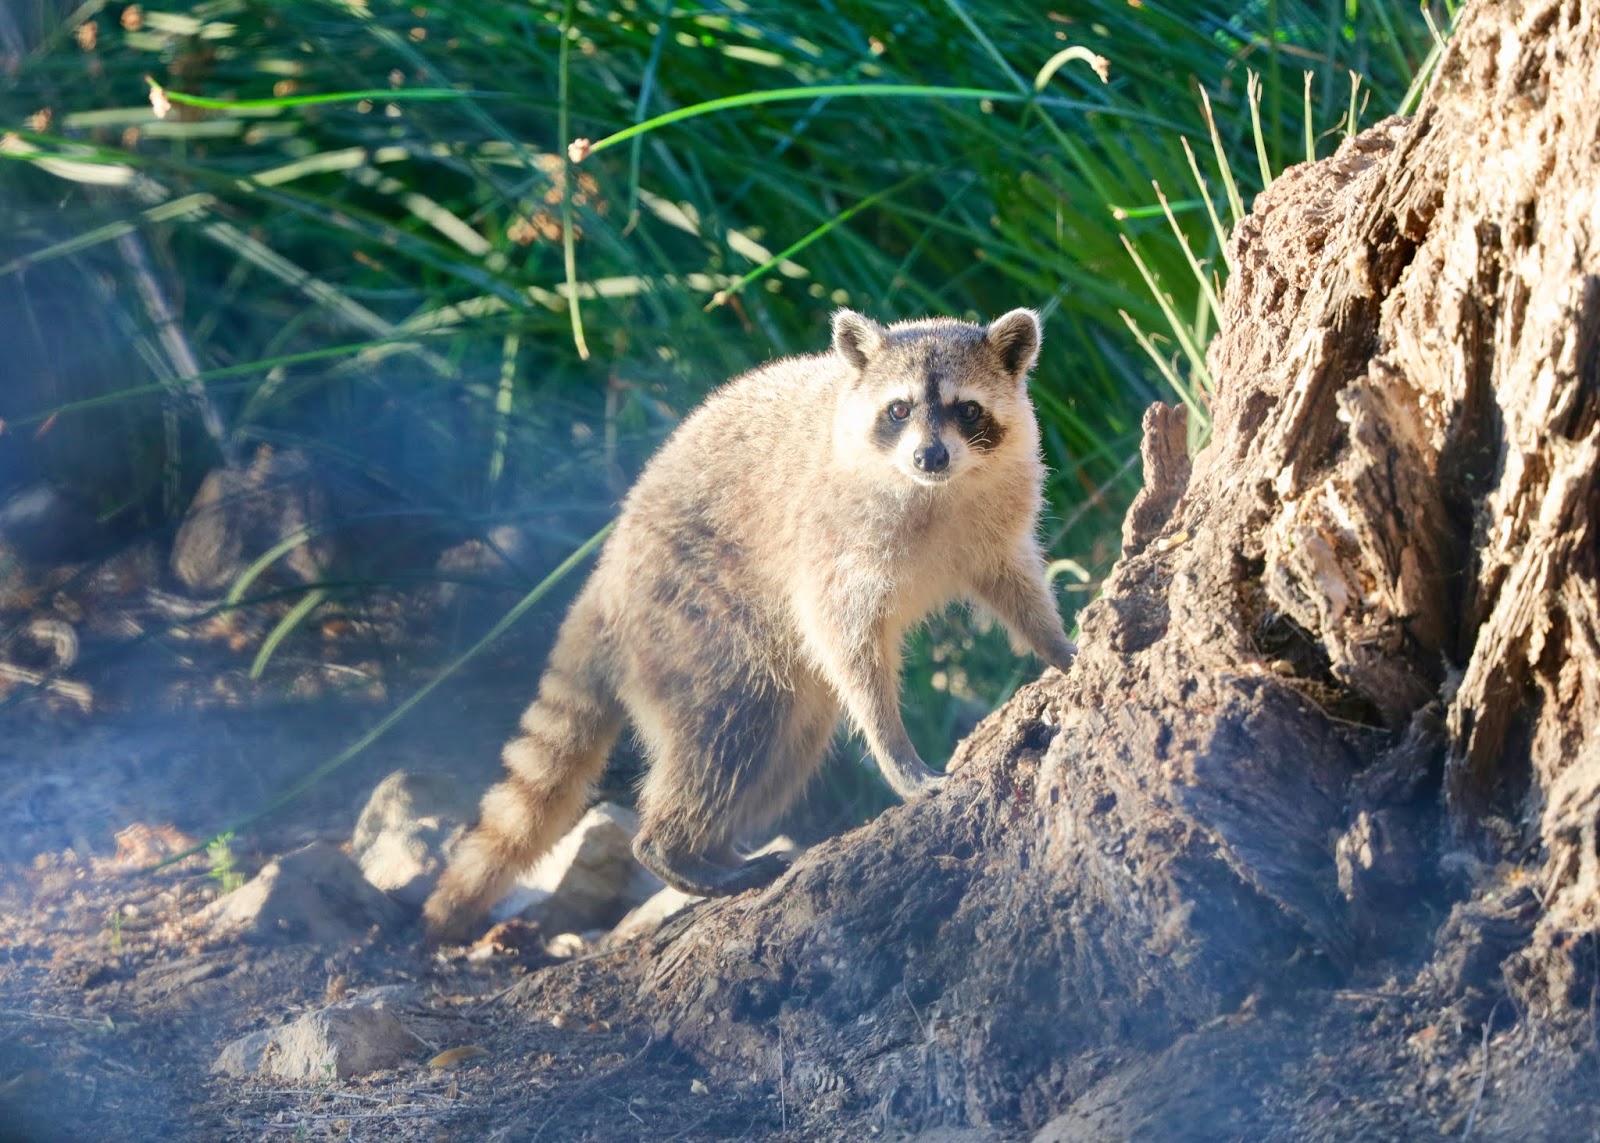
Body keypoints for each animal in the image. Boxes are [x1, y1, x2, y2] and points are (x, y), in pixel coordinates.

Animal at [423, 308, 1076, 943]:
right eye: (898, 409)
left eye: (967, 409)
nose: (930, 457)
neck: (935, 491)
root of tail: (608, 576)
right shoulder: (832, 540)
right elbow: (846, 645)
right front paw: (896, 751)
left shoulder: (996, 517)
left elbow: (1016, 587)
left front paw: (1059, 647)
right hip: (693, 622)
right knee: (729, 726)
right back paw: (670, 849)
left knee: (783, 747)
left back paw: (708, 846)